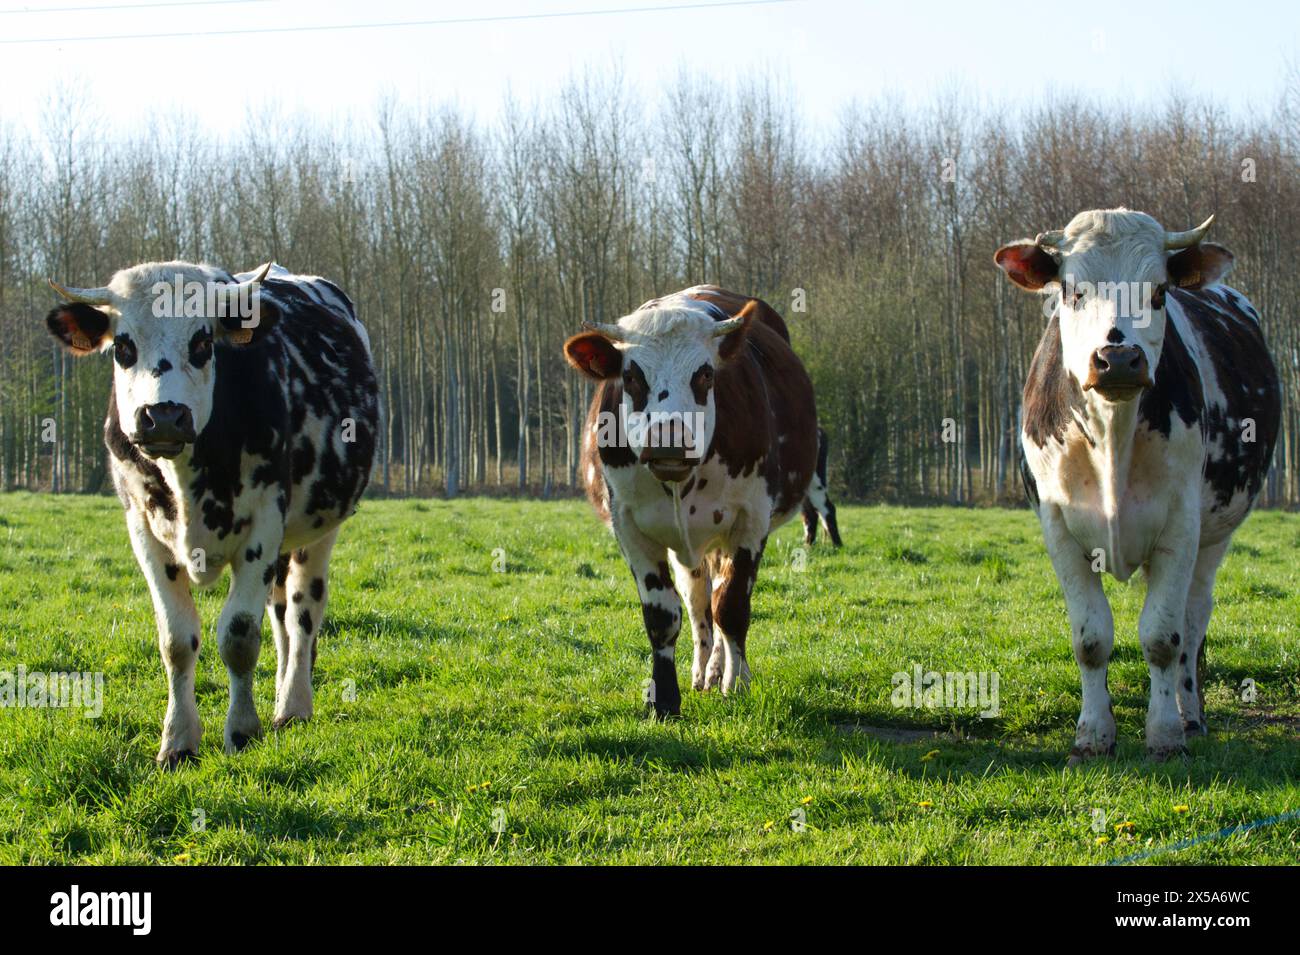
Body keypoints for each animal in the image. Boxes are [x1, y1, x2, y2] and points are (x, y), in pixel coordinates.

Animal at [45, 261, 378, 766]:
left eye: (203, 342)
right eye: (123, 346)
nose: (163, 416)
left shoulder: (263, 524)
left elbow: (238, 637)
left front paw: (241, 731)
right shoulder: (143, 530)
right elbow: (177, 640)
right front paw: (178, 741)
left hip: (317, 530)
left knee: (302, 611)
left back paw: (293, 704)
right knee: (279, 615)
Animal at [564, 285, 826, 718]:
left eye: (705, 374)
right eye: (631, 376)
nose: (669, 438)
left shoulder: (750, 521)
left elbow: (732, 607)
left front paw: (736, 682)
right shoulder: (629, 527)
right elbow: (663, 615)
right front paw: (664, 699)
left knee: (717, 603)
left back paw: (722, 670)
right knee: (698, 603)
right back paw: (704, 671)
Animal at [994, 209, 1280, 762]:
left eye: (1159, 291)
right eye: (1072, 289)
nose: (1119, 358)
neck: (1112, 436)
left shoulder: (1180, 526)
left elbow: (1162, 637)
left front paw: (1165, 734)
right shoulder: (1058, 529)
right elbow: (1090, 639)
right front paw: (1093, 734)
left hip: (1215, 536)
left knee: (1193, 620)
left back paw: (1190, 715)